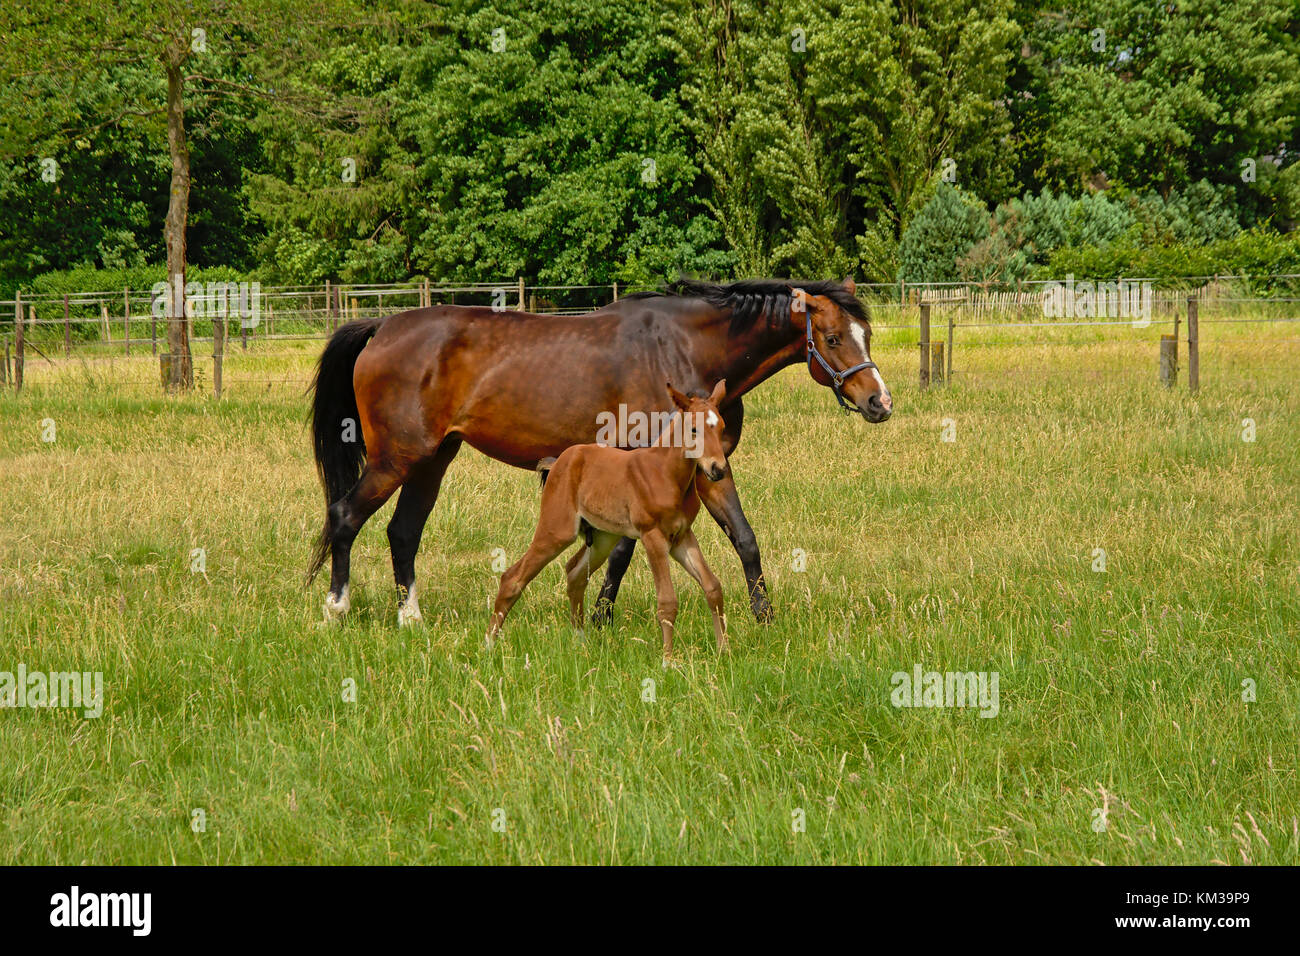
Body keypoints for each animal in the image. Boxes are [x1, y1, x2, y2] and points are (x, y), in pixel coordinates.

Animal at [307, 277, 892, 626]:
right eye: (834, 338)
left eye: (866, 333)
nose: (879, 402)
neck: (685, 351)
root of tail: (382, 326)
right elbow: (624, 550)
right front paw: (600, 617)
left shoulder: (711, 469)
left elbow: (744, 539)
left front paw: (763, 620)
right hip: (396, 460)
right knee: (345, 516)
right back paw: (336, 608)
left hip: (432, 460)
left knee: (402, 531)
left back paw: (411, 618)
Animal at [487, 379, 731, 656]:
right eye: (693, 429)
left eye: (722, 427)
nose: (718, 469)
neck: (665, 473)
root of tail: (559, 462)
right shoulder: (653, 536)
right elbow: (667, 601)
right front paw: (668, 659)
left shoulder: (681, 536)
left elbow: (713, 587)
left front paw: (724, 652)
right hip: (557, 530)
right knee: (512, 578)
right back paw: (489, 645)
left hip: (604, 537)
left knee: (574, 573)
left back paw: (580, 642)